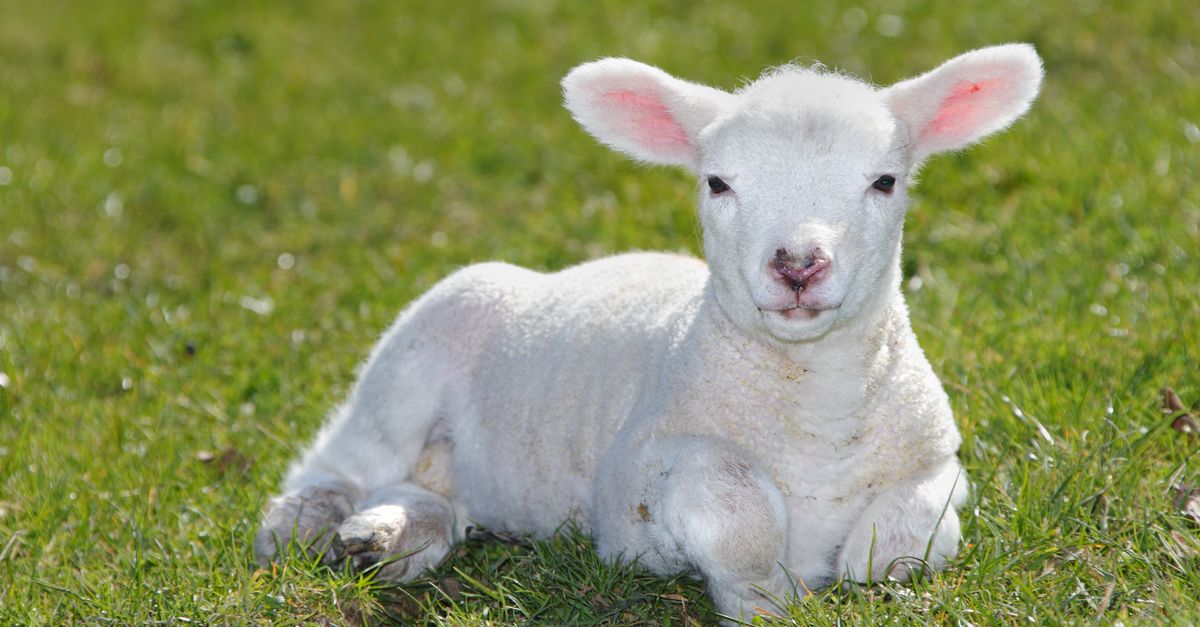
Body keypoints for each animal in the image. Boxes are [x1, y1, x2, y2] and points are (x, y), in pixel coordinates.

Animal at [255, 44, 1044, 620]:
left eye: (885, 181)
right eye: (718, 183)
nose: (797, 264)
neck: (816, 411)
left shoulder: (939, 459)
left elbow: (910, 533)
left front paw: (860, 562)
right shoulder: (628, 489)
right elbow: (733, 502)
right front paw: (766, 598)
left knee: (438, 495)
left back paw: (387, 536)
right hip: (415, 353)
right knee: (342, 458)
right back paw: (307, 523)